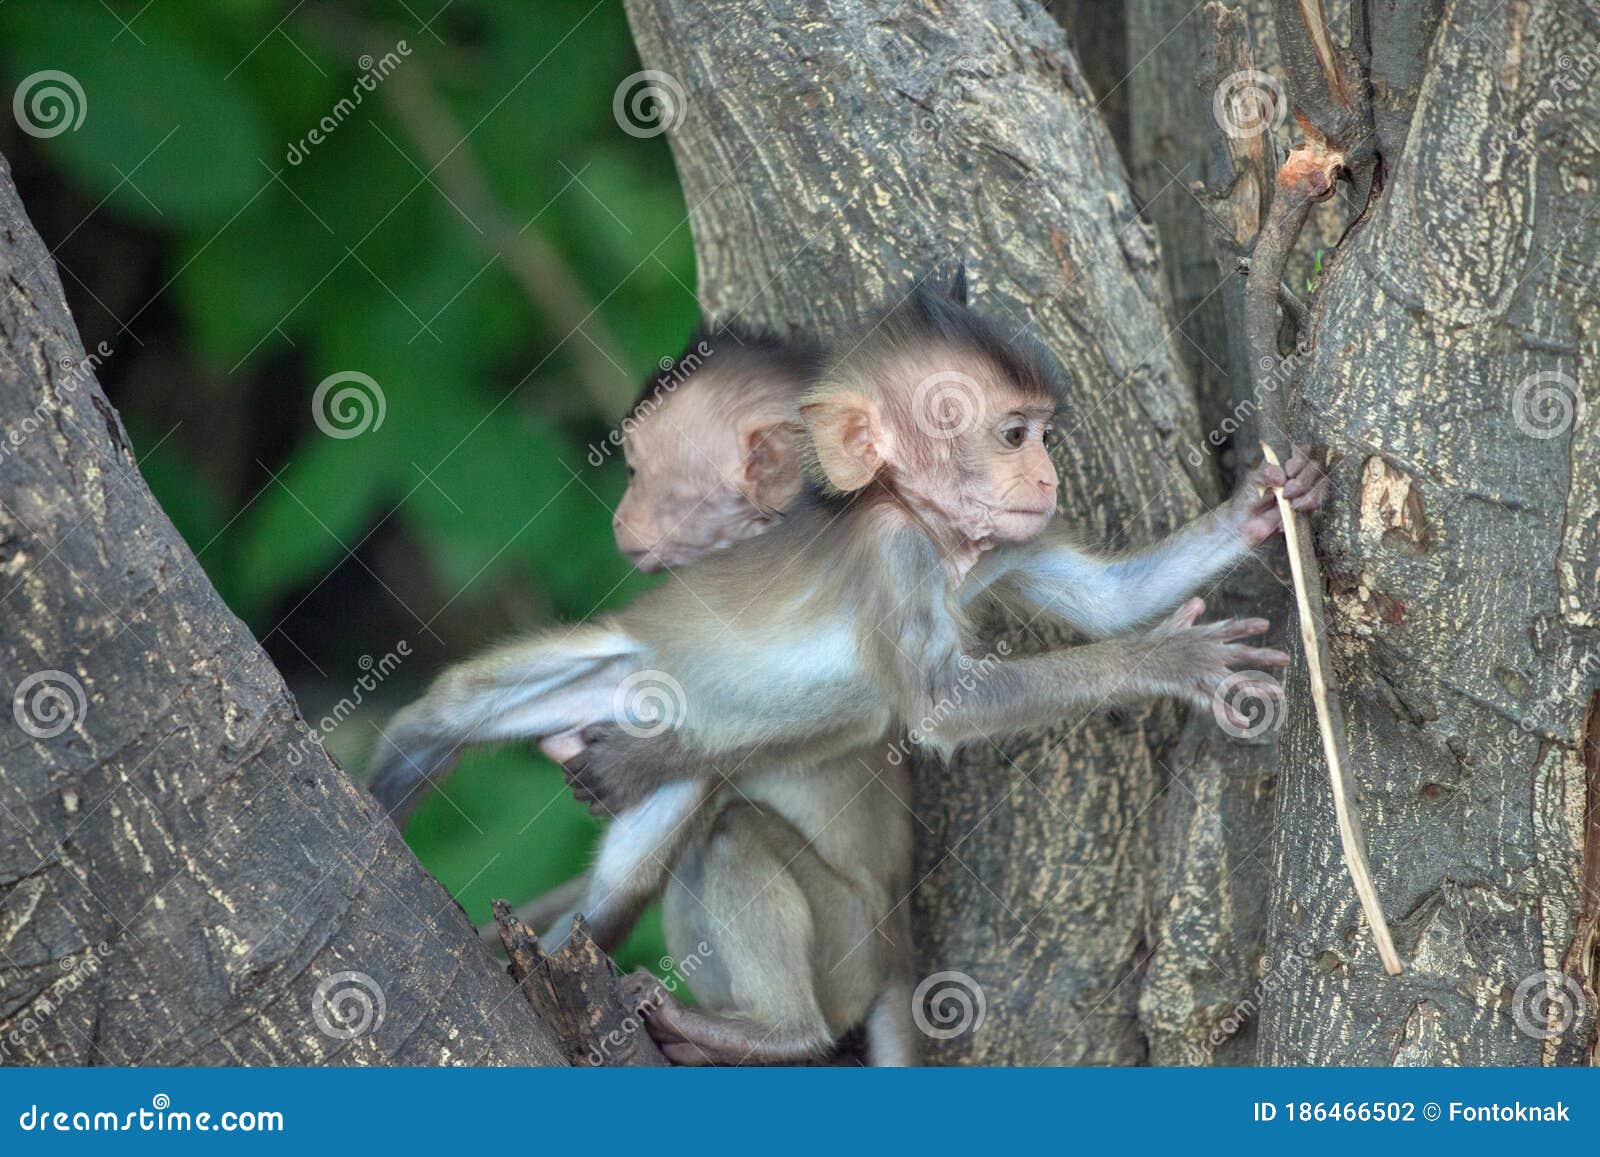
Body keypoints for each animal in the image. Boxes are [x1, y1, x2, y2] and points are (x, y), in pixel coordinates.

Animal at [369, 271, 1324, 1054]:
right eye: (1015, 434)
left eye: (1041, 435)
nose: (1048, 476)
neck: (927, 529)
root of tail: (892, 951)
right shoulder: (896, 555)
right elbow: (934, 707)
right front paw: (1176, 654)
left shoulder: (997, 549)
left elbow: (1103, 601)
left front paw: (1255, 509)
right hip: (626, 672)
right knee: (476, 708)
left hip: (829, 924)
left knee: (703, 812)